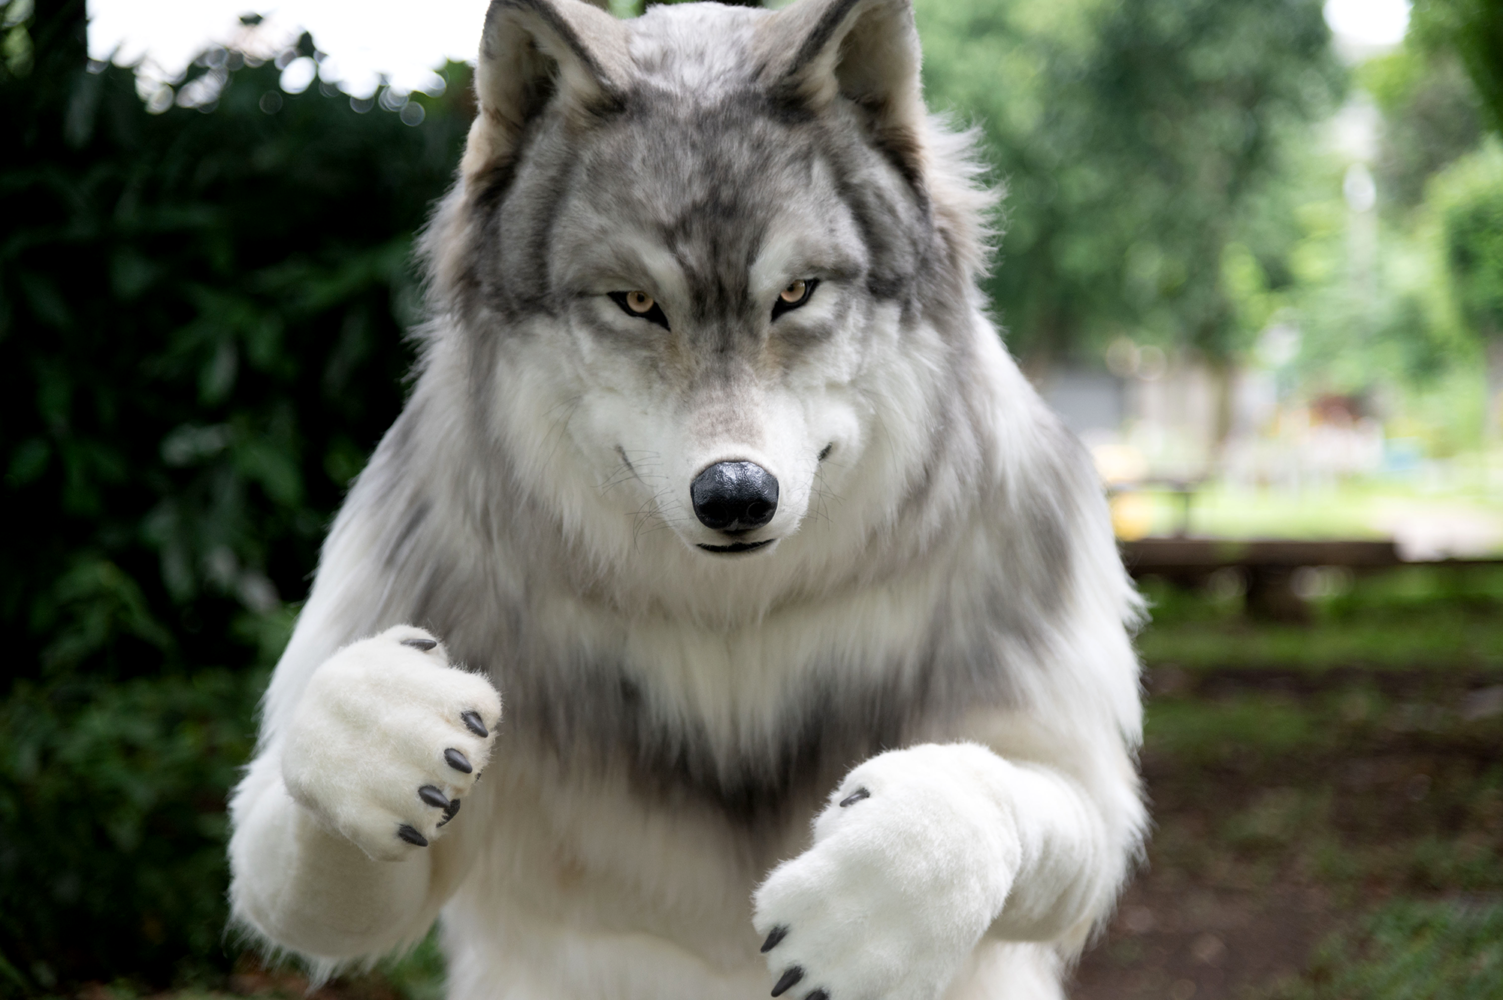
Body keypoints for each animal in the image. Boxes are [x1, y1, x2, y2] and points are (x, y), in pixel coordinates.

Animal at [227, 0, 1146, 998]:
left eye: (795, 293)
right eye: (635, 303)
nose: (736, 496)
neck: (726, 626)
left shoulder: (1077, 780)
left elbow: (995, 799)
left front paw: (875, 902)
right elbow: (302, 814)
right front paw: (378, 722)